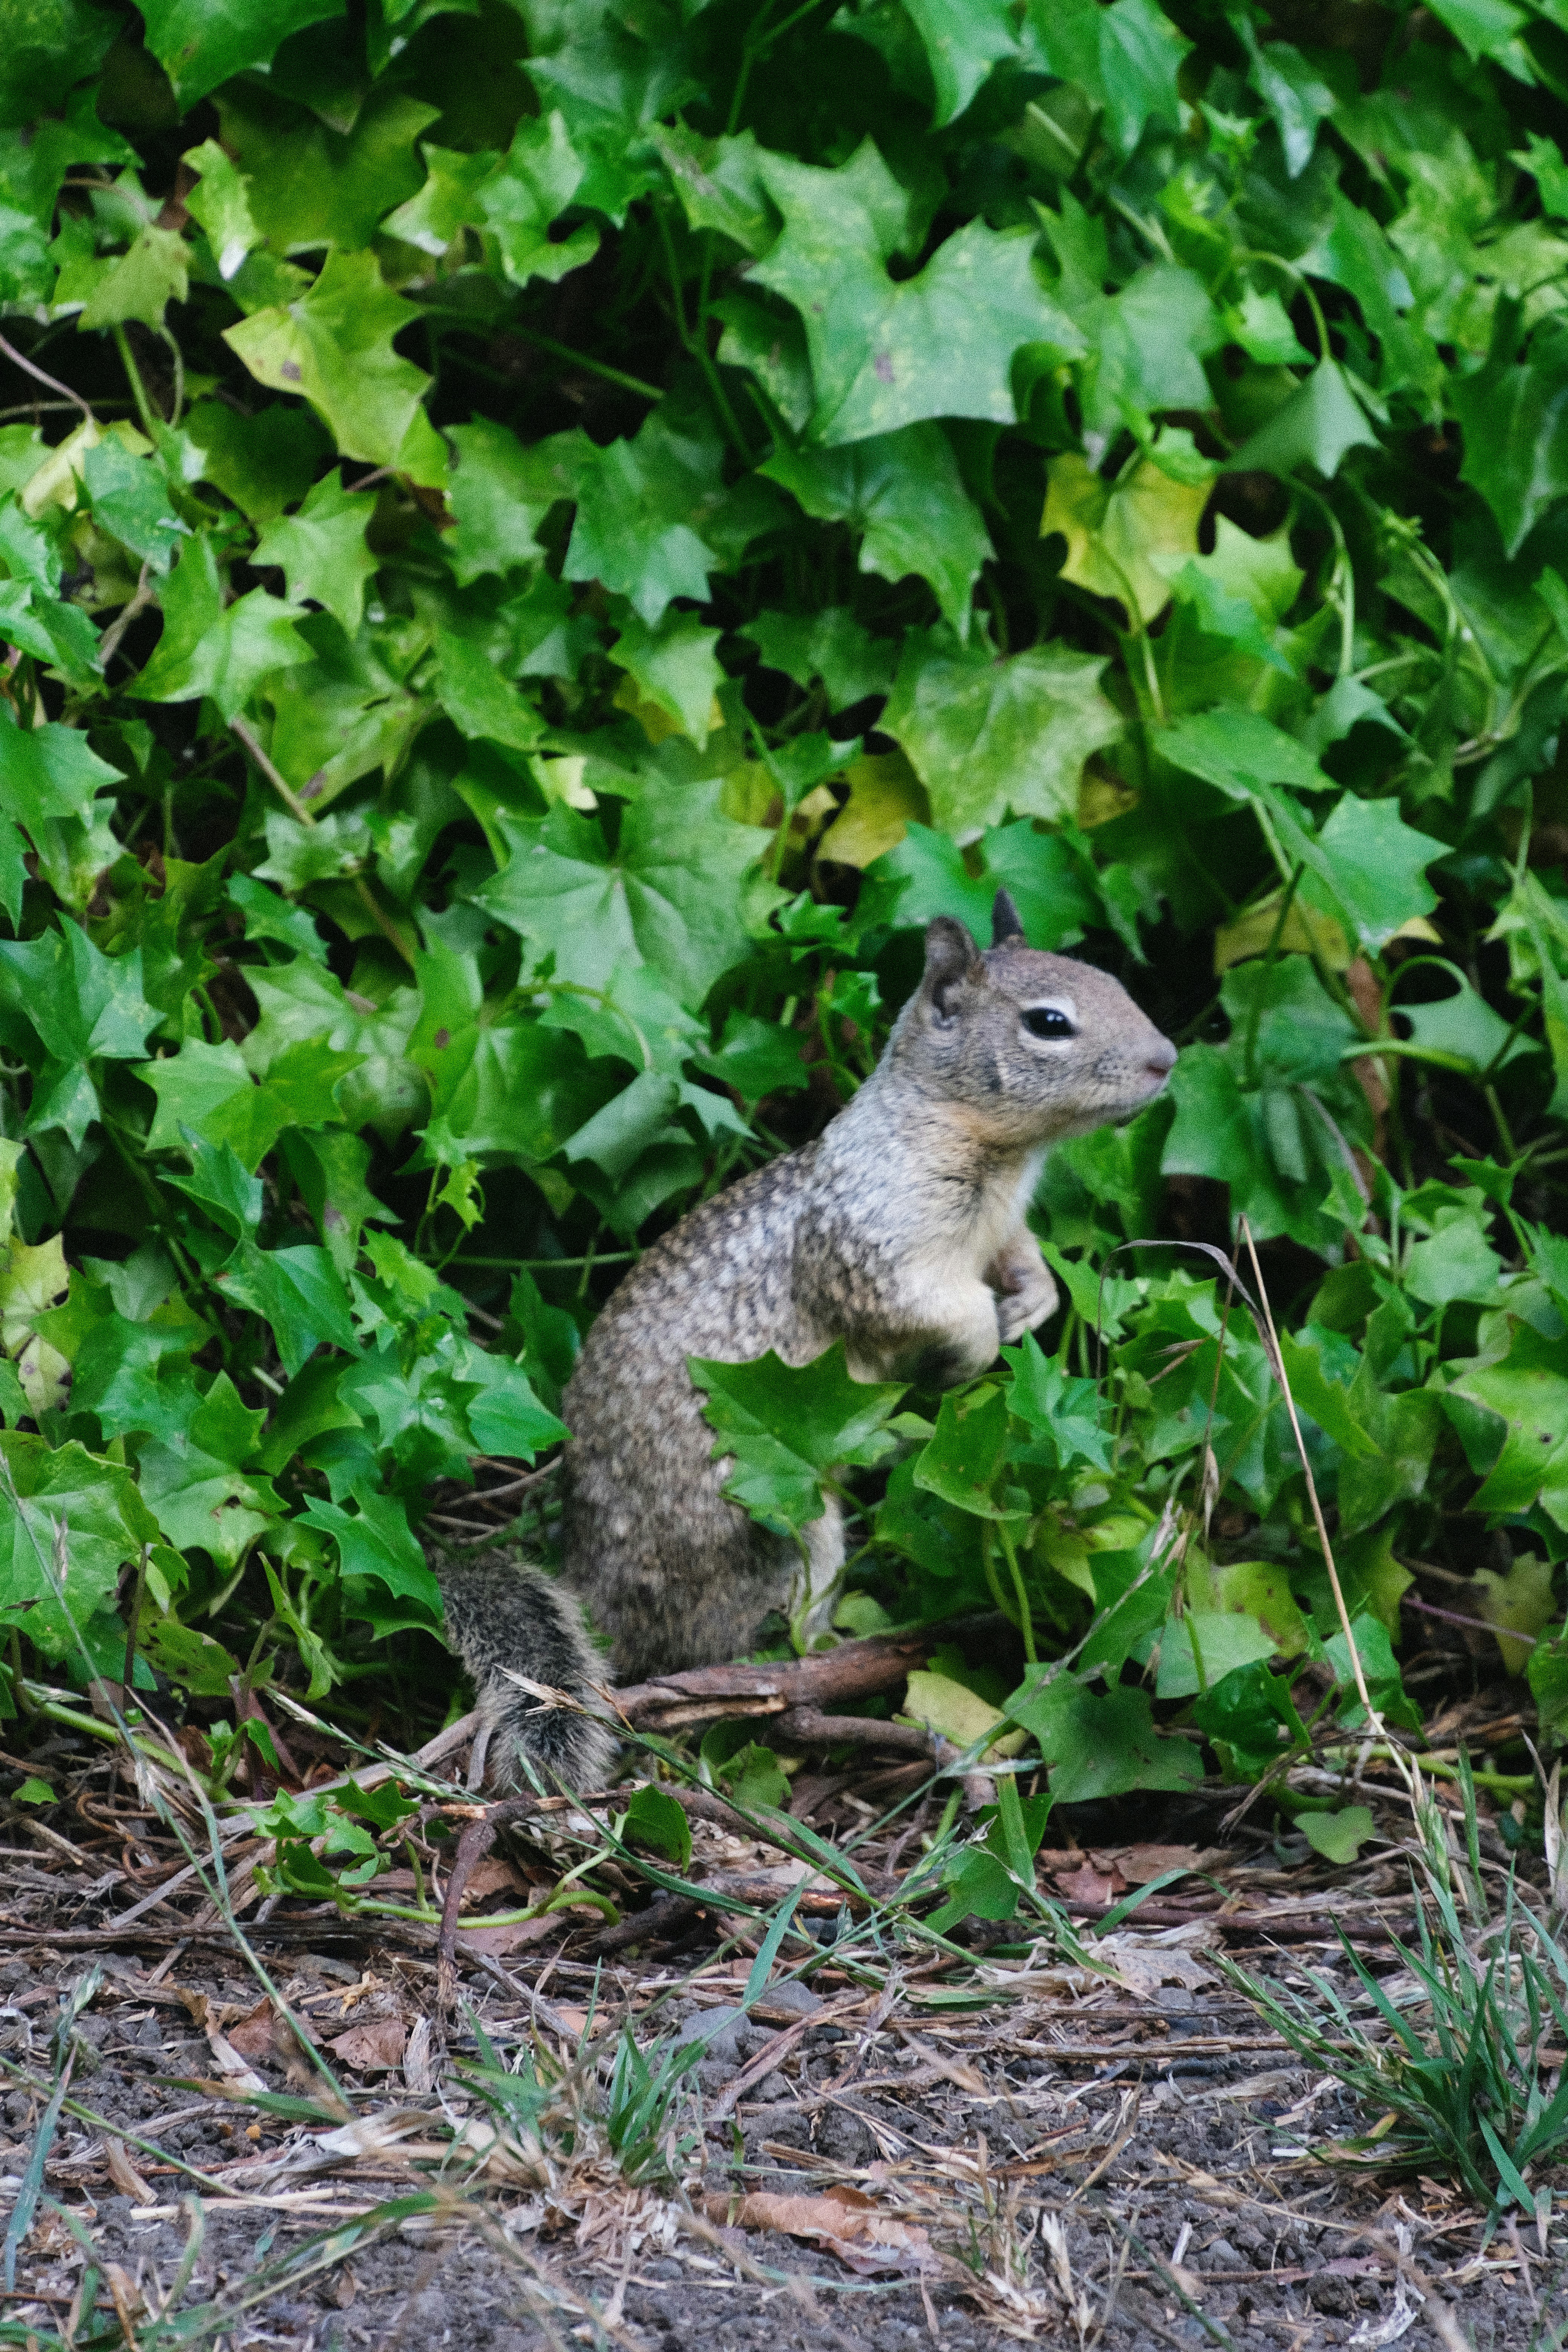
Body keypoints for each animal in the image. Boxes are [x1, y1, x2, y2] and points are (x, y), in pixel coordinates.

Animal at [437, 891, 1177, 1789]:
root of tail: (594, 1585)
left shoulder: (1000, 1230)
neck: (995, 1153)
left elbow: (1023, 1263)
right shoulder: (875, 1246)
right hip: (780, 1533)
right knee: (723, 1643)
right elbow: (927, 1306)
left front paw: (1032, 1303)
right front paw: (975, 1343)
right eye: (1048, 1022)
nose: (1167, 1059)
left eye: (1113, 981)